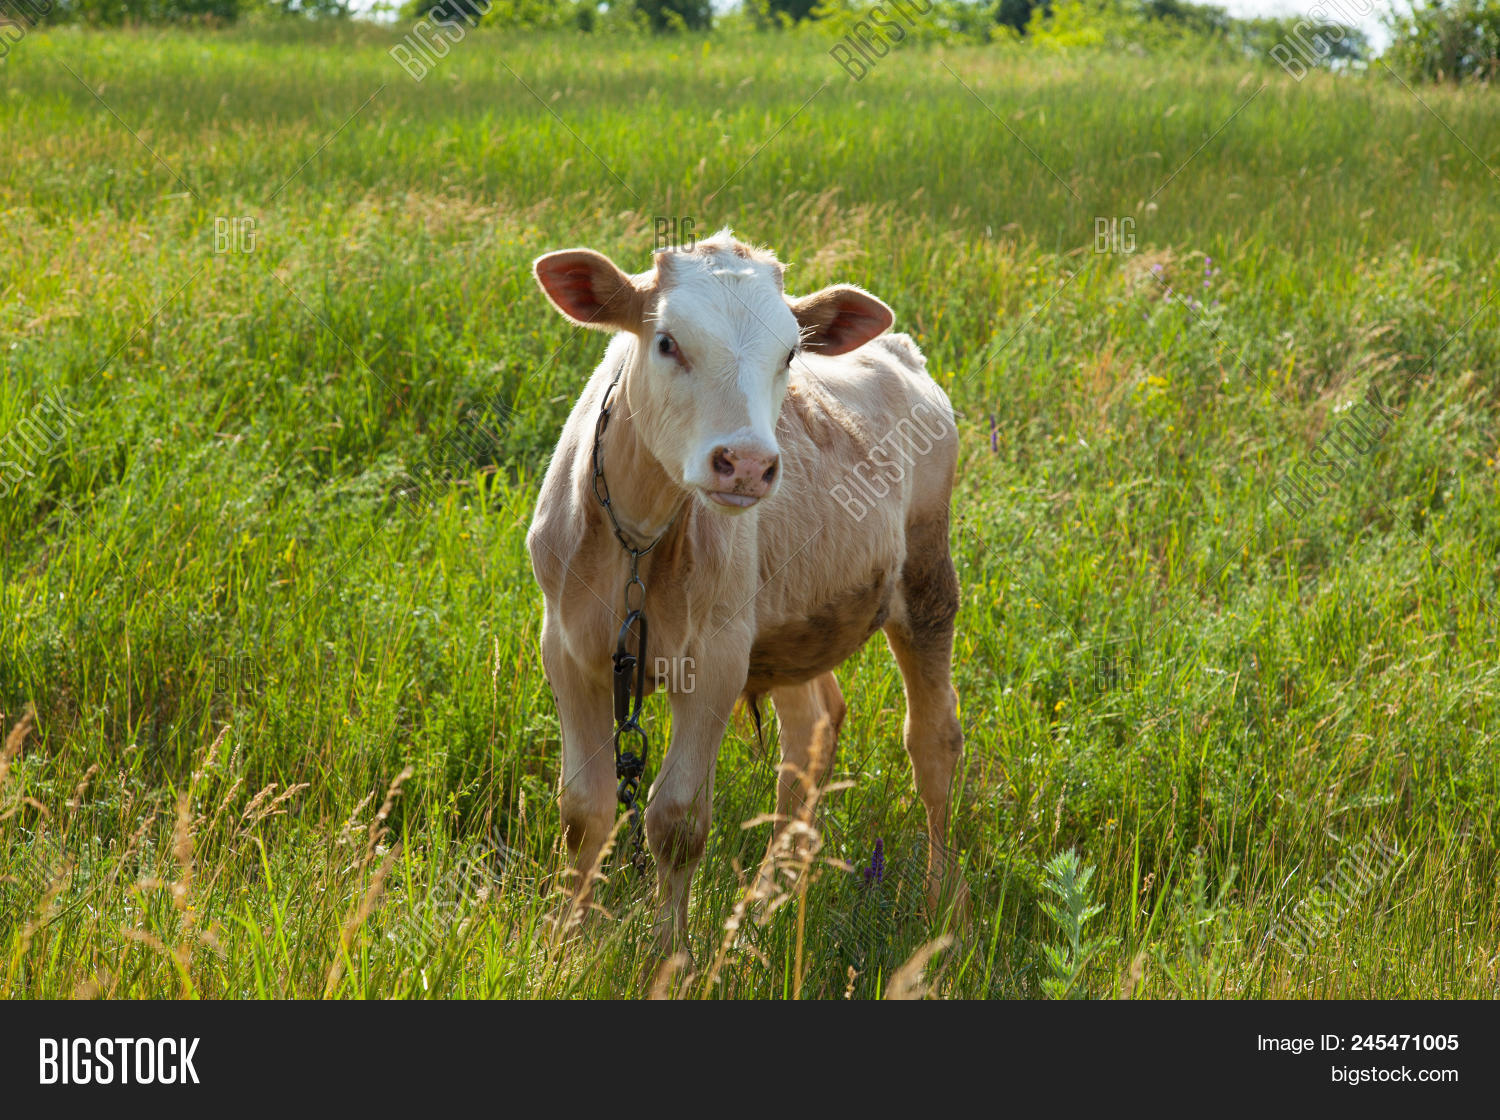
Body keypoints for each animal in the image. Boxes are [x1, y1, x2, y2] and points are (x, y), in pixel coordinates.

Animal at [526, 229, 966, 950]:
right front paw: (566, 940)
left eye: (790, 352)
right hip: (792, 624)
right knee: (813, 730)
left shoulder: (715, 657)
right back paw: (766, 901)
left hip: (928, 579)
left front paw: (666, 954)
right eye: (667, 342)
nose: (750, 464)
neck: (640, 536)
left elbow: (676, 820)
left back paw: (938, 902)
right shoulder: (566, 646)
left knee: (934, 739)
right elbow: (584, 810)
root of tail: (902, 351)